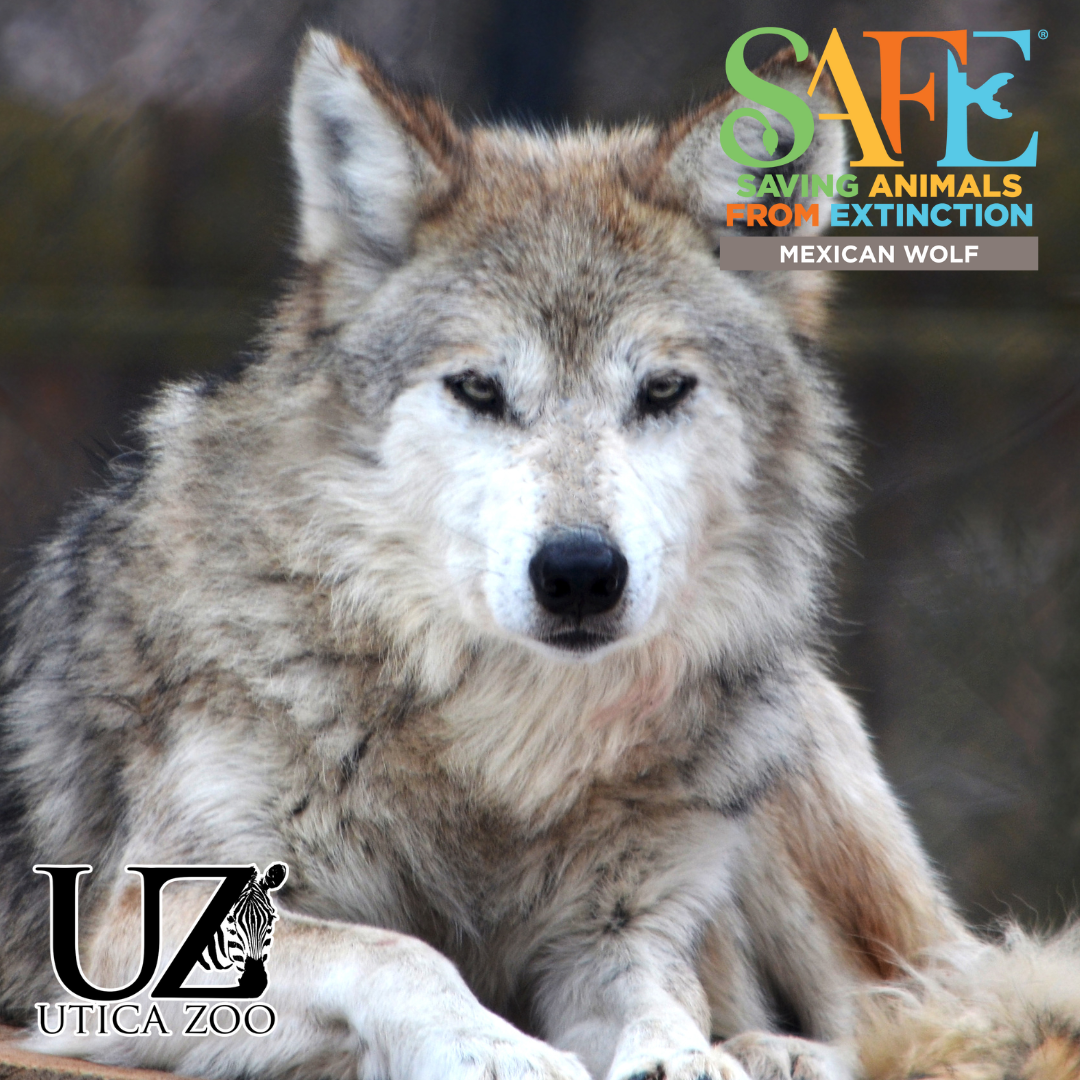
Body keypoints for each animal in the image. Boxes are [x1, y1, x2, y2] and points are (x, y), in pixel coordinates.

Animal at [0, 29, 1077, 1080]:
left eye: (662, 390)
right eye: (478, 389)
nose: (580, 574)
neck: (502, 743)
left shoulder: (615, 933)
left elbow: (661, 1001)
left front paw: (686, 1061)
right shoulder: (134, 931)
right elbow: (400, 950)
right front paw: (497, 1049)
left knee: (929, 1014)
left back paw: (772, 1053)